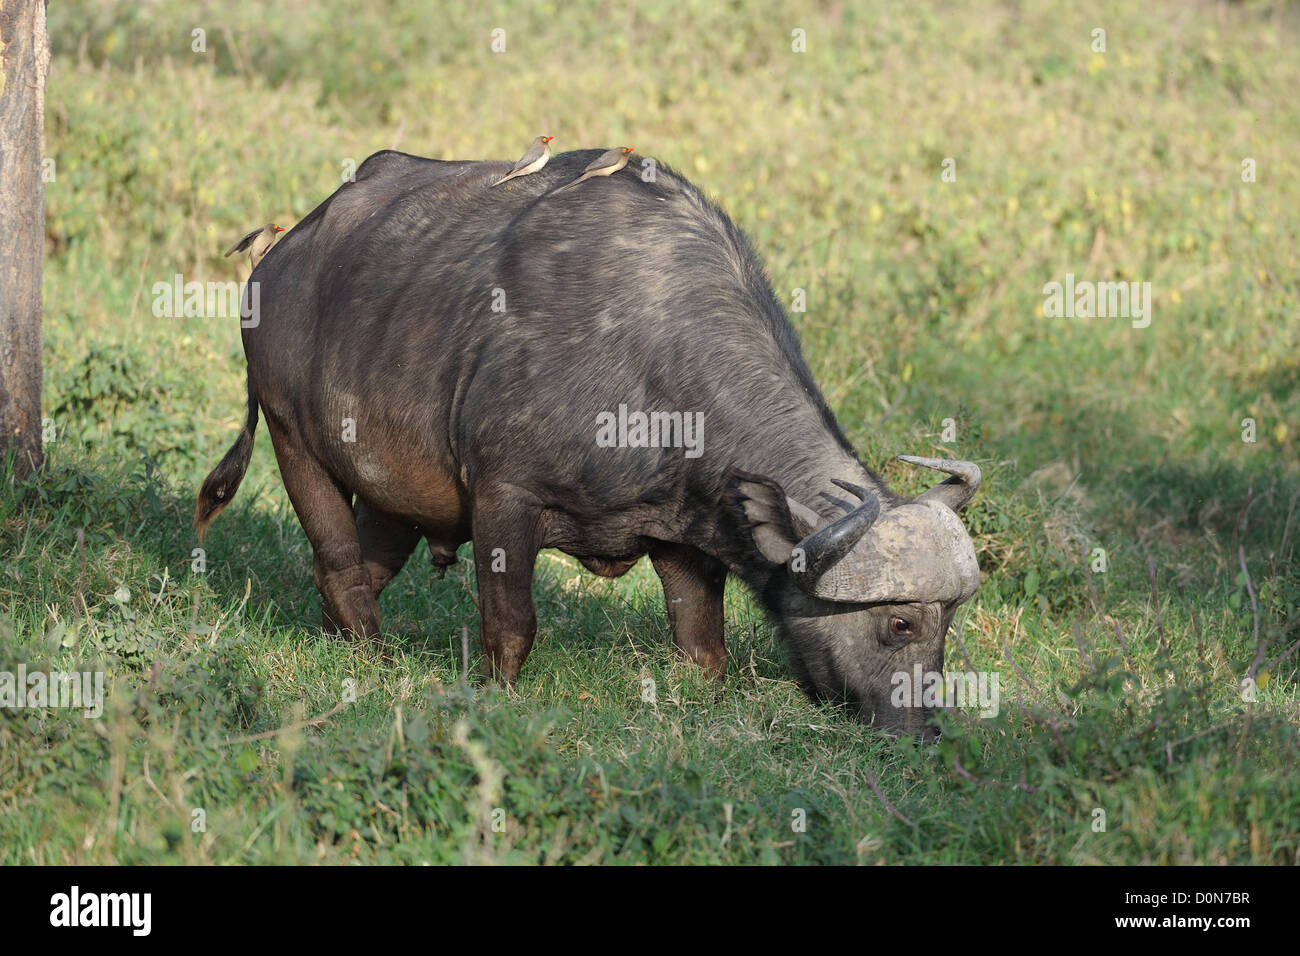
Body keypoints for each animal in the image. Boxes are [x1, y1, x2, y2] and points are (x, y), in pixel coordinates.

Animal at [196, 148, 982, 737]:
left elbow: (703, 647)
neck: (651, 361)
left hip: (395, 496)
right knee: (338, 567)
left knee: (363, 569)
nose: (920, 732)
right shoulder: (504, 500)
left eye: (949, 623)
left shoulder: (684, 535)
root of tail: (280, 256)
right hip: (293, 442)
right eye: (900, 622)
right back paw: (376, 664)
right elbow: (511, 626)